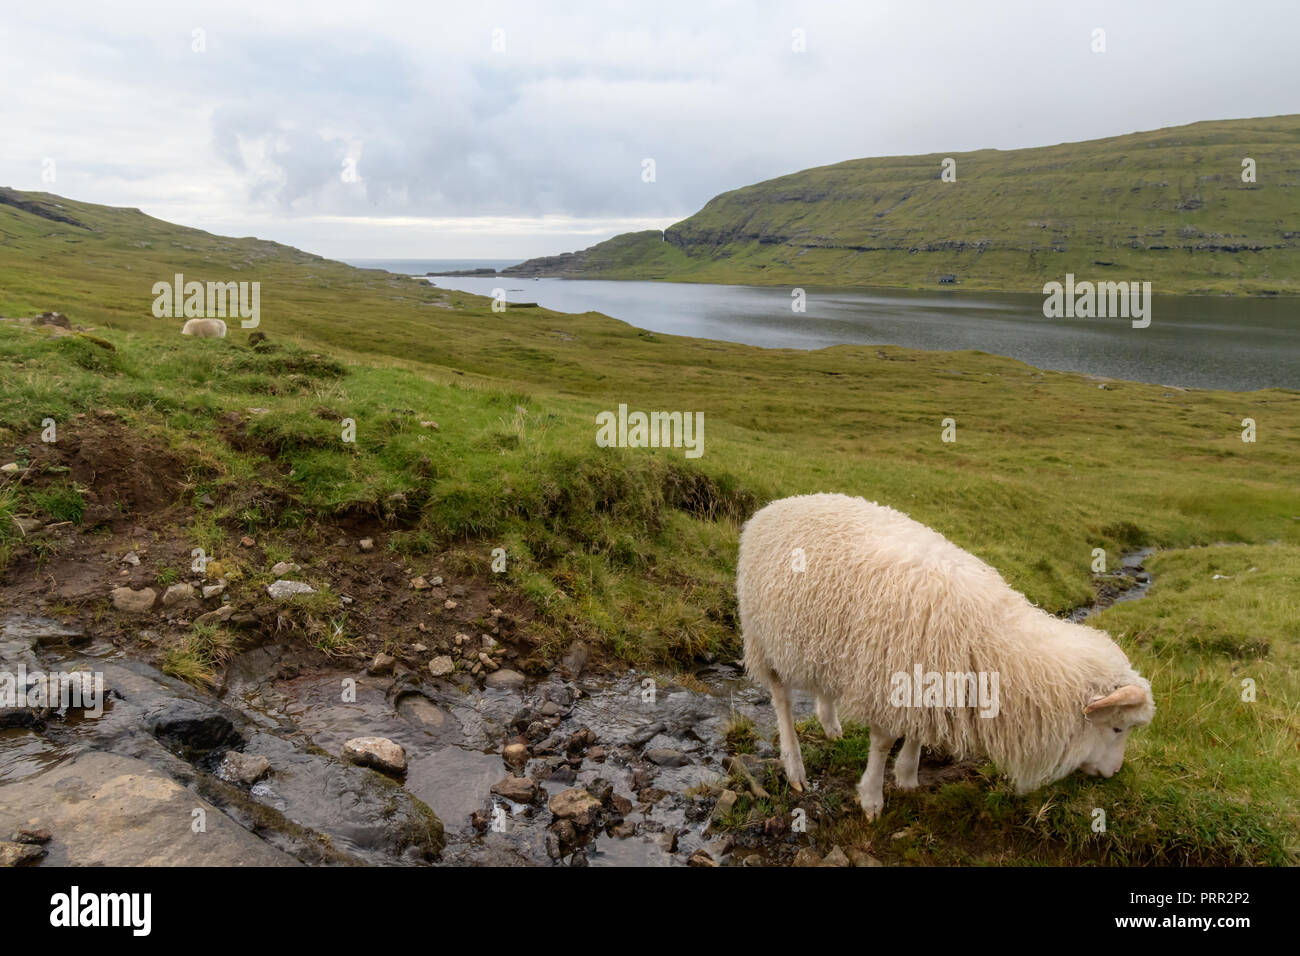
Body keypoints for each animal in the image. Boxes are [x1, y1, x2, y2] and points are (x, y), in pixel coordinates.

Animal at [737, 492, 1154, 819]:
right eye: (1117, 728)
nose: (1114, 774)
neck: (992, 643)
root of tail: (779, 505)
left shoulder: (929, 683)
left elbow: (918, 733)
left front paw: (907, 778)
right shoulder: (893, 680)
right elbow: (883, 743)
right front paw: (872, 798)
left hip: (826, 642)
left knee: (823, 684)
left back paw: (830, 723)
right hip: (763, 639)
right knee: (781, 701)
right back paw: (795, 766)